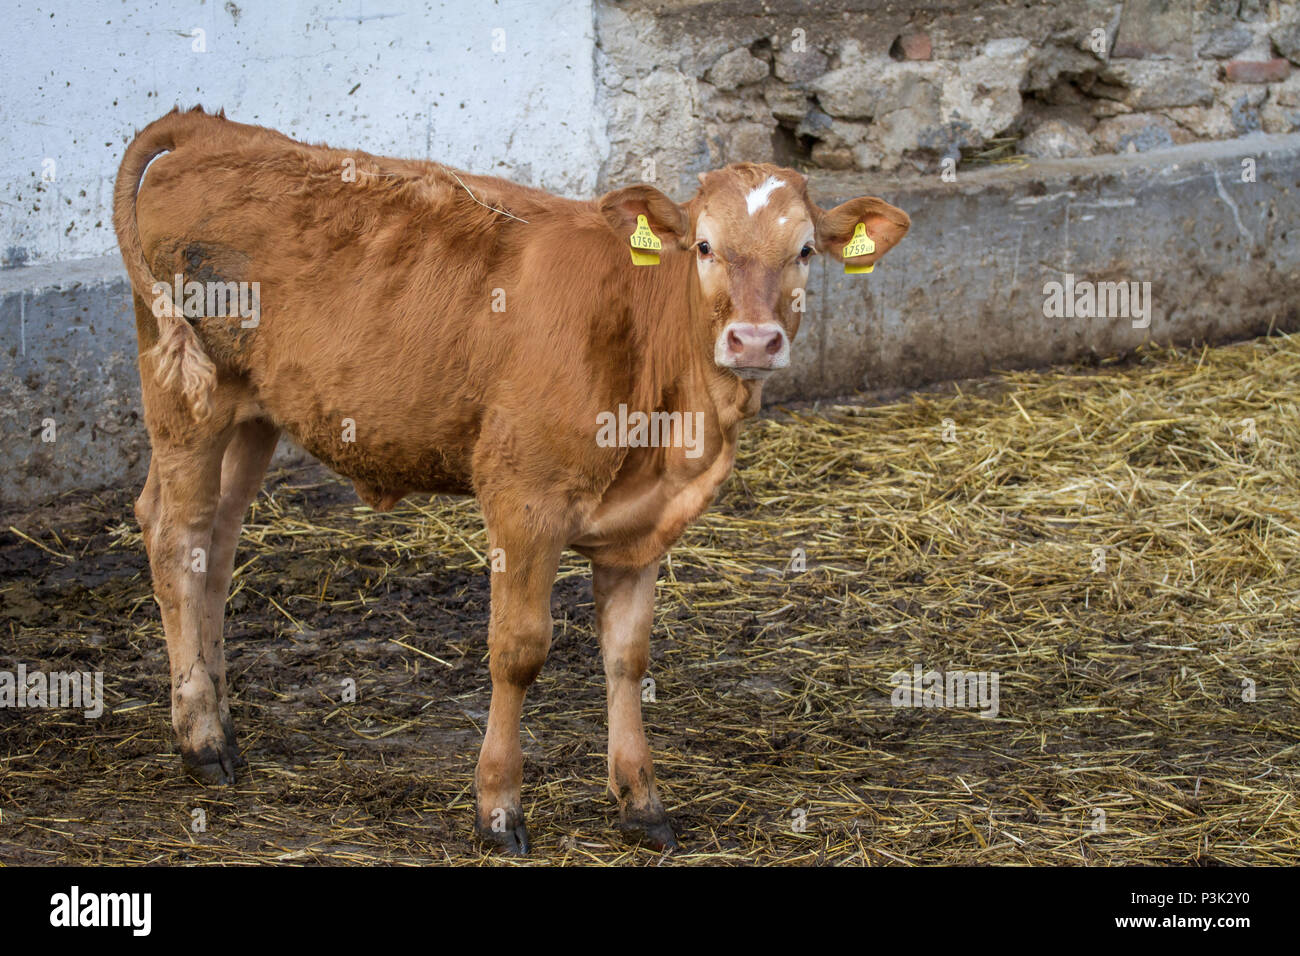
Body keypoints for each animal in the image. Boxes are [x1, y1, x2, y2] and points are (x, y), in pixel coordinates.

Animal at [113, 106, 909, 853]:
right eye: (706, 246)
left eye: (803, 251)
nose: (753, 340)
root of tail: (211, 131)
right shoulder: (524, 501)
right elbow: (518, 651)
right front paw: (497, 809)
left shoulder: (644, 527)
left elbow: (628, 657)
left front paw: (641, 801)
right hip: (187, 392)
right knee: (174, 535)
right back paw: (202, 741)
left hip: (253, 410)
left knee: (214, 545)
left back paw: (221, 718)